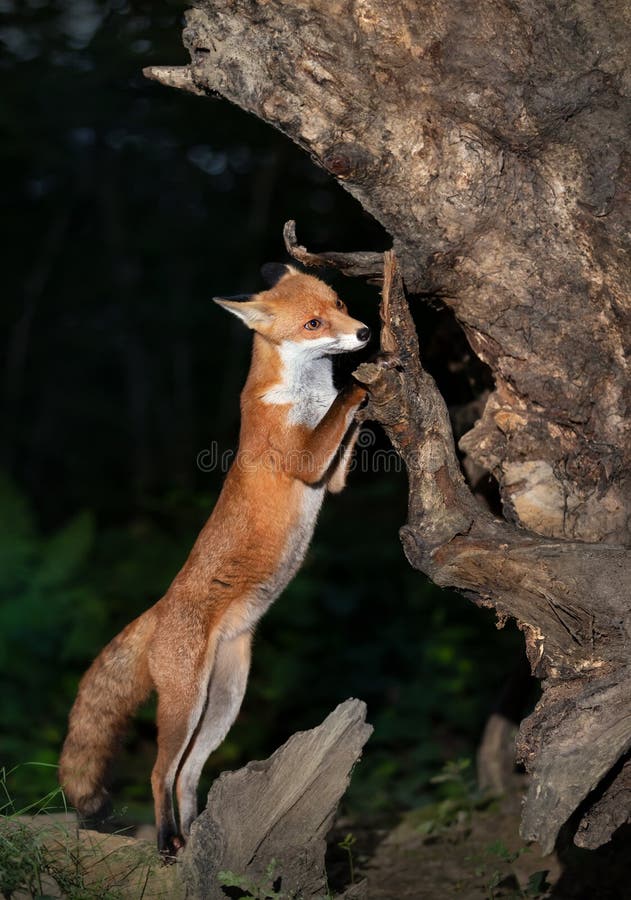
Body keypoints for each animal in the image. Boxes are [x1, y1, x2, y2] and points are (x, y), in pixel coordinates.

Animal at [59, 263, 371, 855]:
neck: (299, 391)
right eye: (313, 323)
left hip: (224, 702)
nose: (366, 332)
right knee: (160, 772)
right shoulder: (301, 458)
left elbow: (346, 450)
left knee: (186, 774)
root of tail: (159, 606)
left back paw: (195, 836)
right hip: (185, 705)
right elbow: (337, 415)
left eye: (339, 303)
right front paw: (361, 385)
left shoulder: (333, 479)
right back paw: (166, 842)